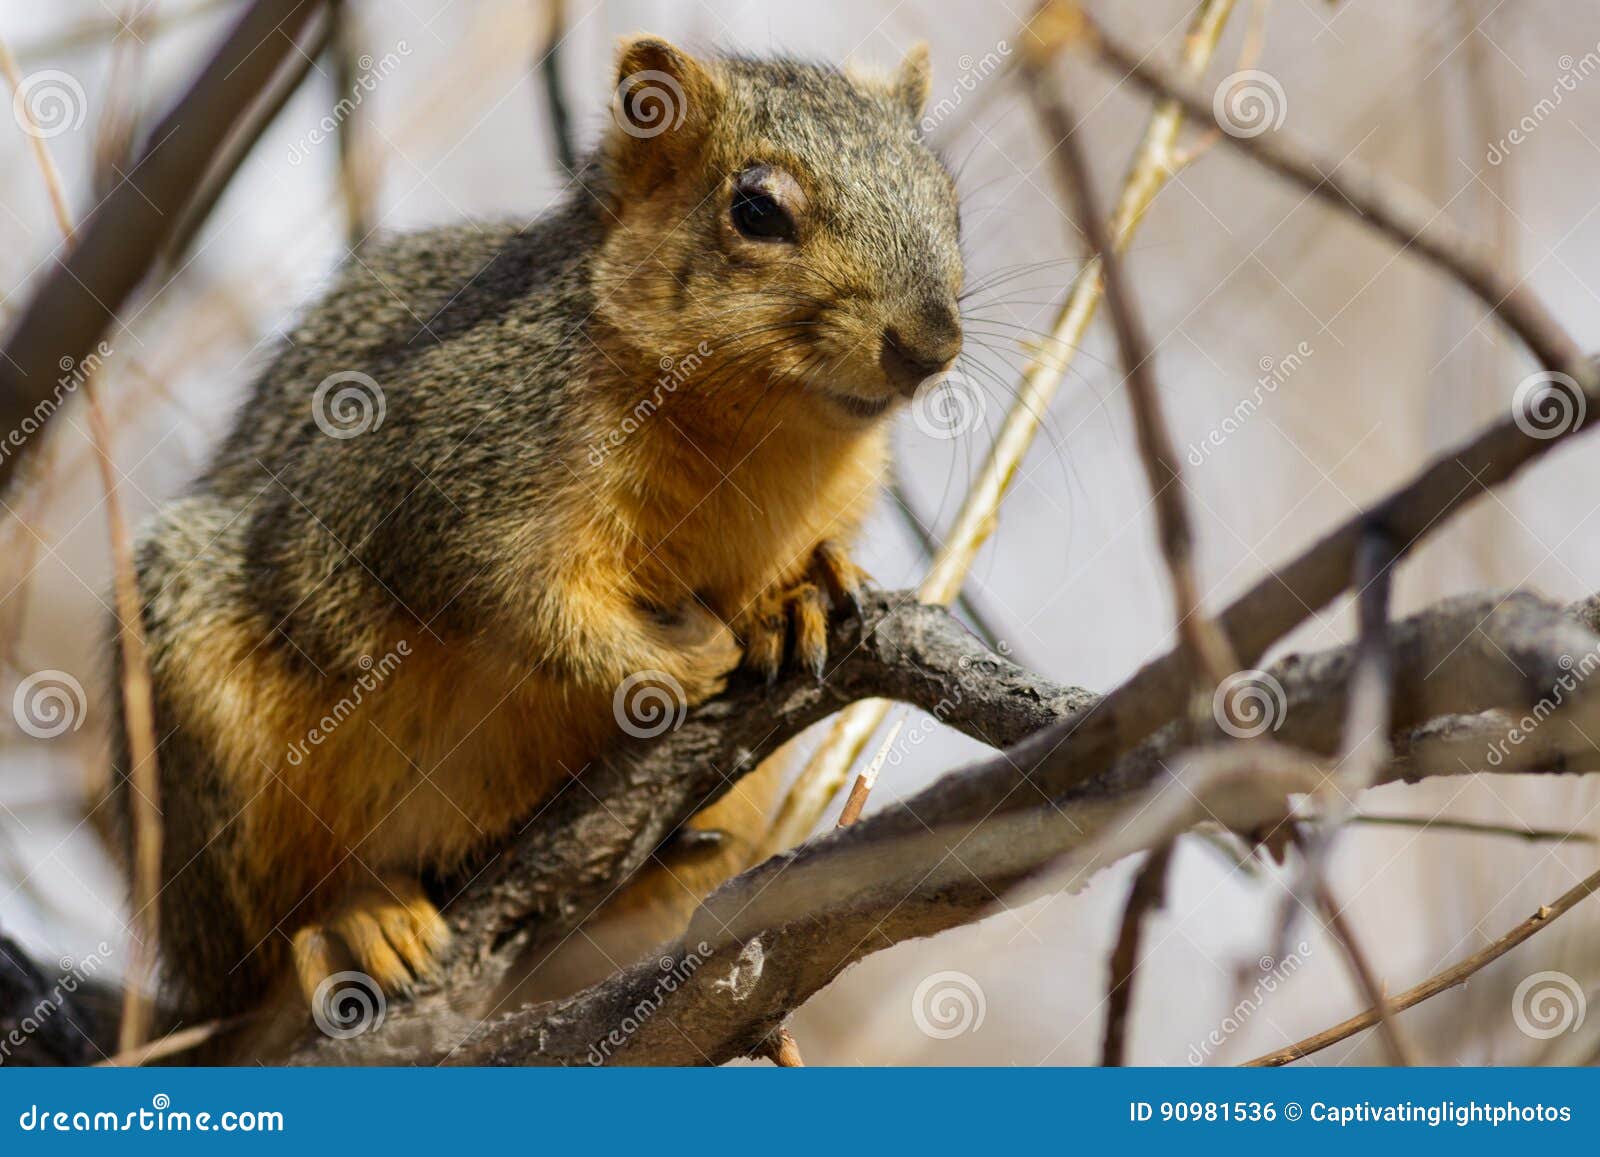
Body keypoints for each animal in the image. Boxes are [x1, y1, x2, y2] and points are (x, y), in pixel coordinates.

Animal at [105, 36, 965, 1022]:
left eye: (950, 199)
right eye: (756, 209)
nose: (929, 343)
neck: (759, 436)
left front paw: (791, 599)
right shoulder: (442, 473)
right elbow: (528, 612)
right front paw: (674, 661)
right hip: (202, 724)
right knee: (262, 946)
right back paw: (355, 920)